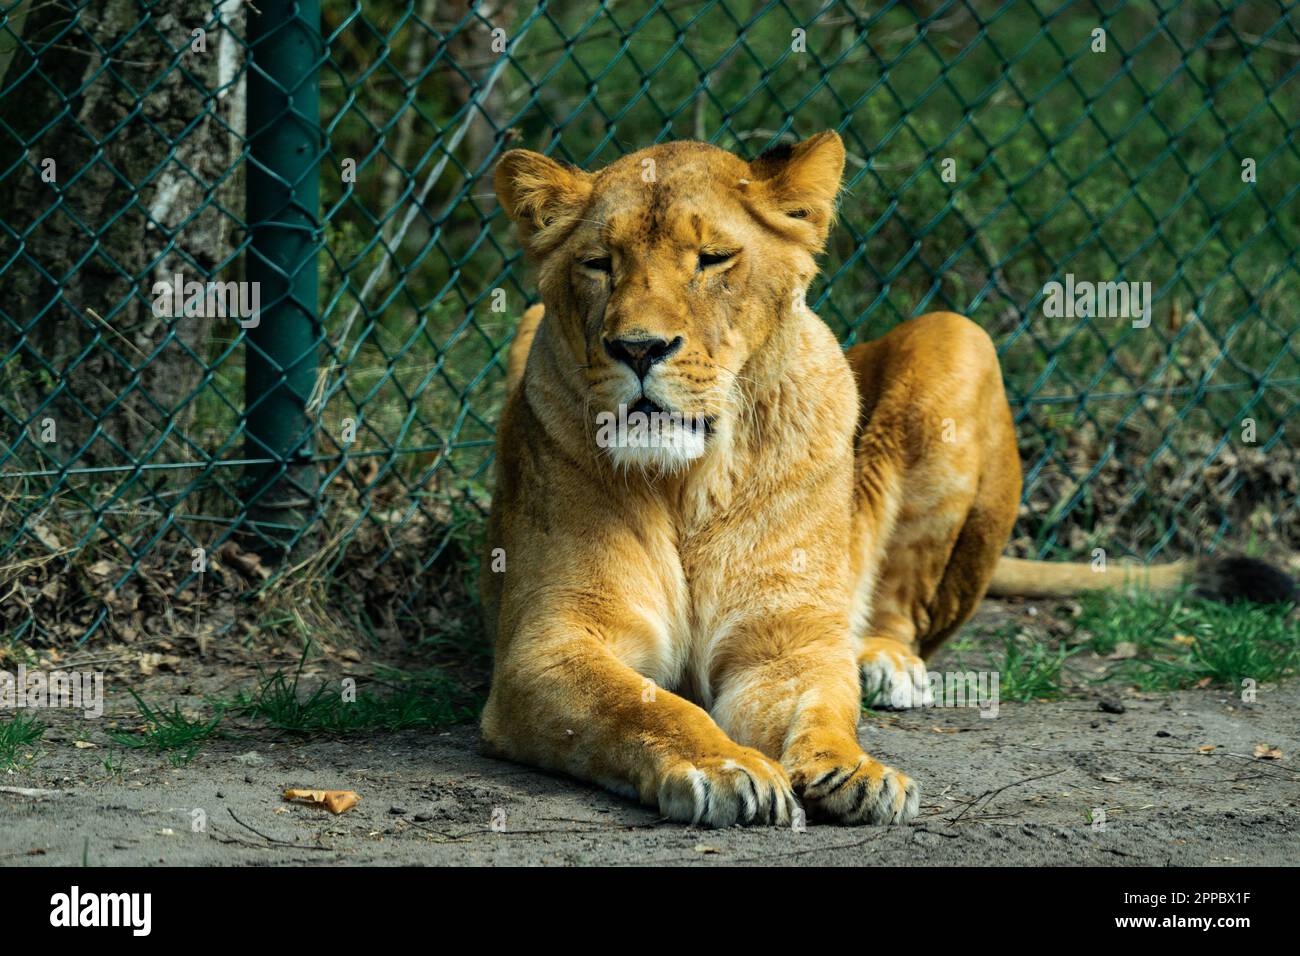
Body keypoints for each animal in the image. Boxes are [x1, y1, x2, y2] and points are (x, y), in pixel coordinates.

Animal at [479, 131, 1295, 827]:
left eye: (712, 259)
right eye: (599, 263)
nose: (639, 348)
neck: (690, 481)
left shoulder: (787, 644)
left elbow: (823, 708)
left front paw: (854, 771)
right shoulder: (547, 646)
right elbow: (649, 706)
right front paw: (723, 768)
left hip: (959, 339)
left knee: (900, 605)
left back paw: (884, 662)